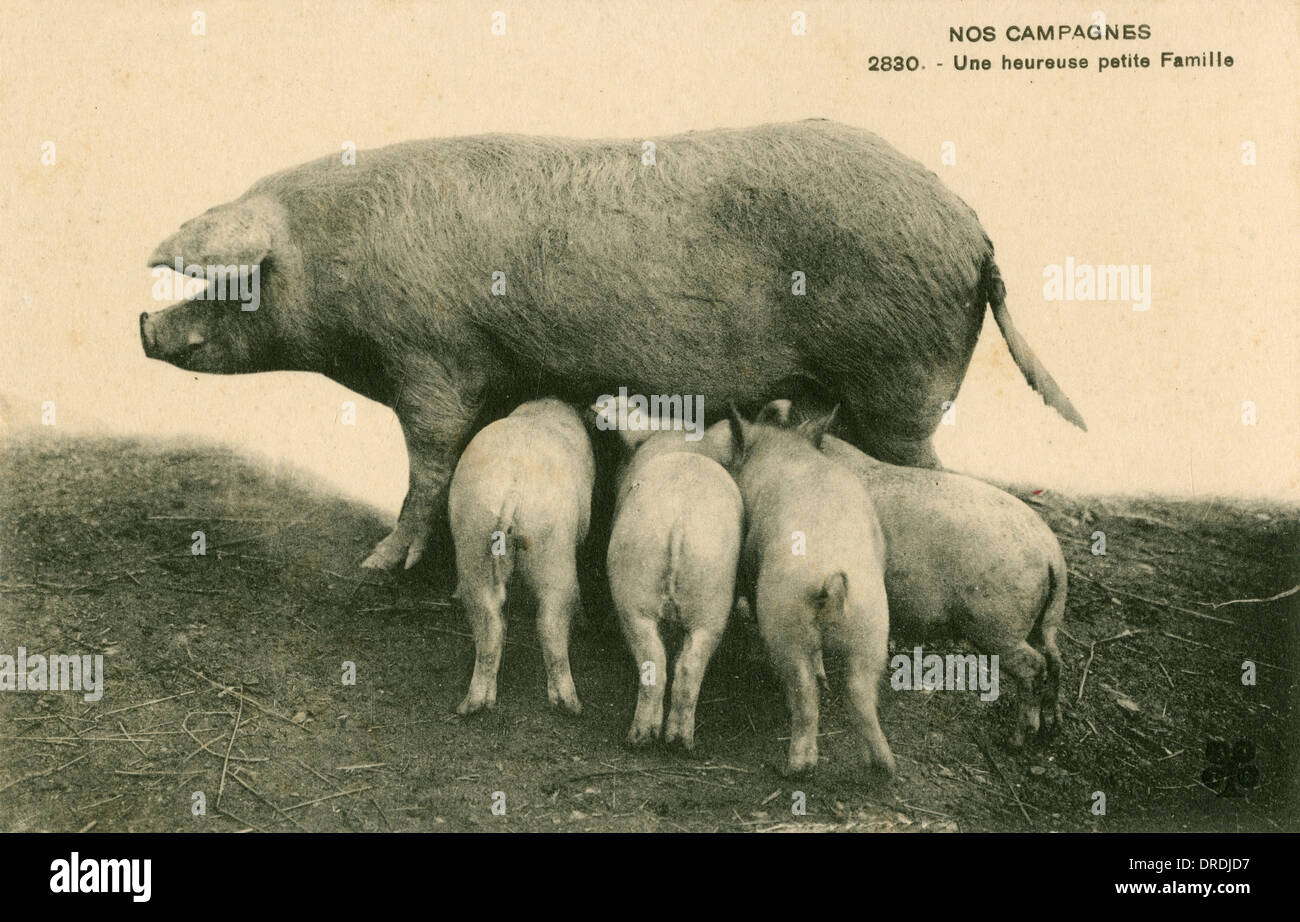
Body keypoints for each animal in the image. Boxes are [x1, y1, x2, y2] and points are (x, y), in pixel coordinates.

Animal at [141, 120, 1085, 571]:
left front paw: (380, 564)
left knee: (924, 468)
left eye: (236, 278)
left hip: (901, 371)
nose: (142, 326)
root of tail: (977, 233)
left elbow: (430, 460)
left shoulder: (431, 356)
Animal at [446, 398, 593, 716]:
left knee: (488, 623)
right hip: (551, 548)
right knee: (551, 620)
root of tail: (513, 487)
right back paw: (571, 705)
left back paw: (473, 705)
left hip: (473, 537)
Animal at [596, 399, 744, 750]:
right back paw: (668, 740)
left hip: (641, 586)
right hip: (707, 596)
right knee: (680, 665)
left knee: (663, 663)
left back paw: (652, 739)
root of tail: (679, 522)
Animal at [727, 404, 896, 778]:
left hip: (785, 620)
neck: (788, 449)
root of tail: (830, 580)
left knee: (804, 693)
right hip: (872, 624)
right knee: (860, 691)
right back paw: (883, 766)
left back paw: (796, 768)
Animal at [755, 400, 1067, 746]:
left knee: (1034, 666)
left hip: (998, 623)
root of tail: (1051, 554)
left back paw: (1015, 740)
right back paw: (1051, 727)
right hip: (1042, 618)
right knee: (1055, 658)